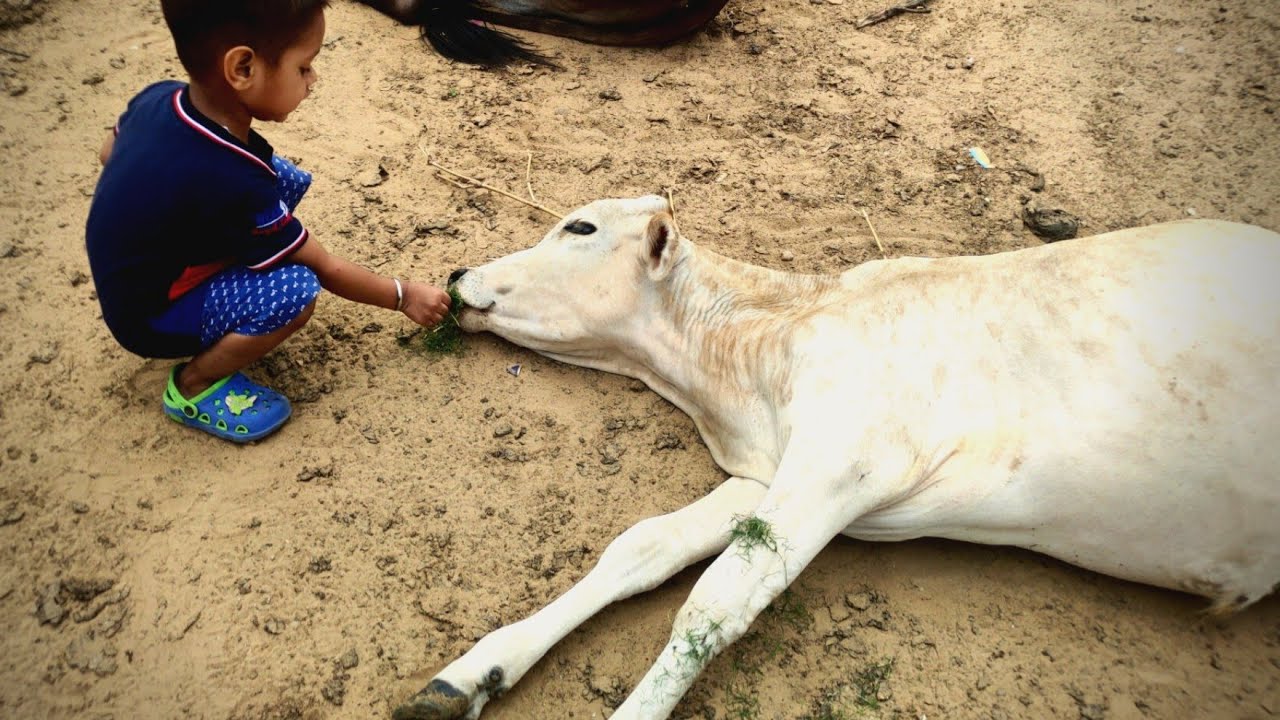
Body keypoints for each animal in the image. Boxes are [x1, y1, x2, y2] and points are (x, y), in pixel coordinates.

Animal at [394, 195, 1280, 719]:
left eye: (579, 227)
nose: (459, 271)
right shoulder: (766, 472)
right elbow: (641, 548)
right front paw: (469, 676)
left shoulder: (842, 463)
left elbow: (715, 604)